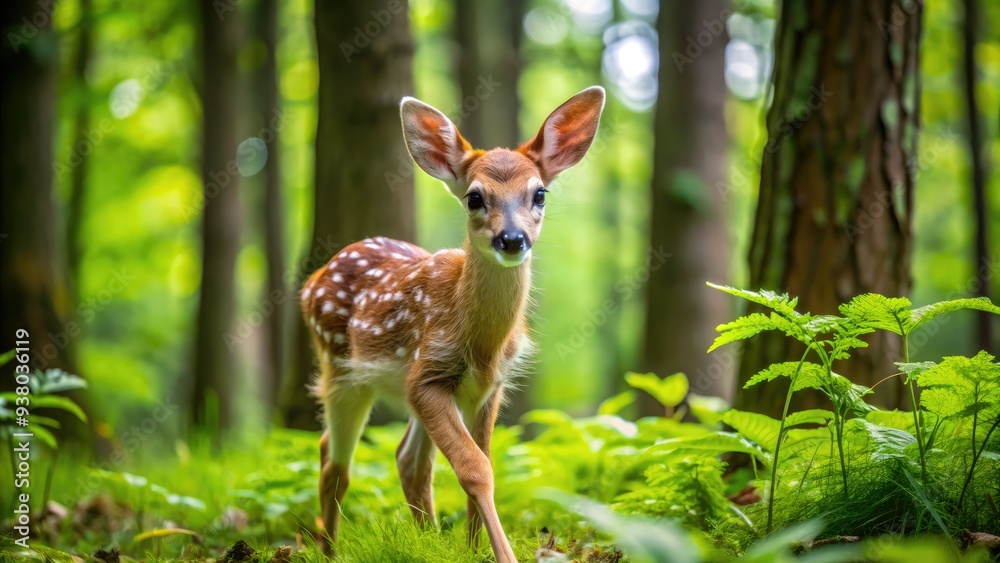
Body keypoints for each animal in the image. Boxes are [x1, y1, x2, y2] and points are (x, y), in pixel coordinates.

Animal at [300, 86, 605, 562]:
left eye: (539, 194)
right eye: (474, 197)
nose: (512, 239)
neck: (482, 342)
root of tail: (314, 279)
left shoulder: (490, 386)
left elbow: (484, 460)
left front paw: (472, 548)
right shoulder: (427, 375)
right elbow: (475, 469)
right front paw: (502, 556)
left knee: (407, 459)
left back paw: (425, 538)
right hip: (341, 369)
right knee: (334, 458)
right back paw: (329, 551)